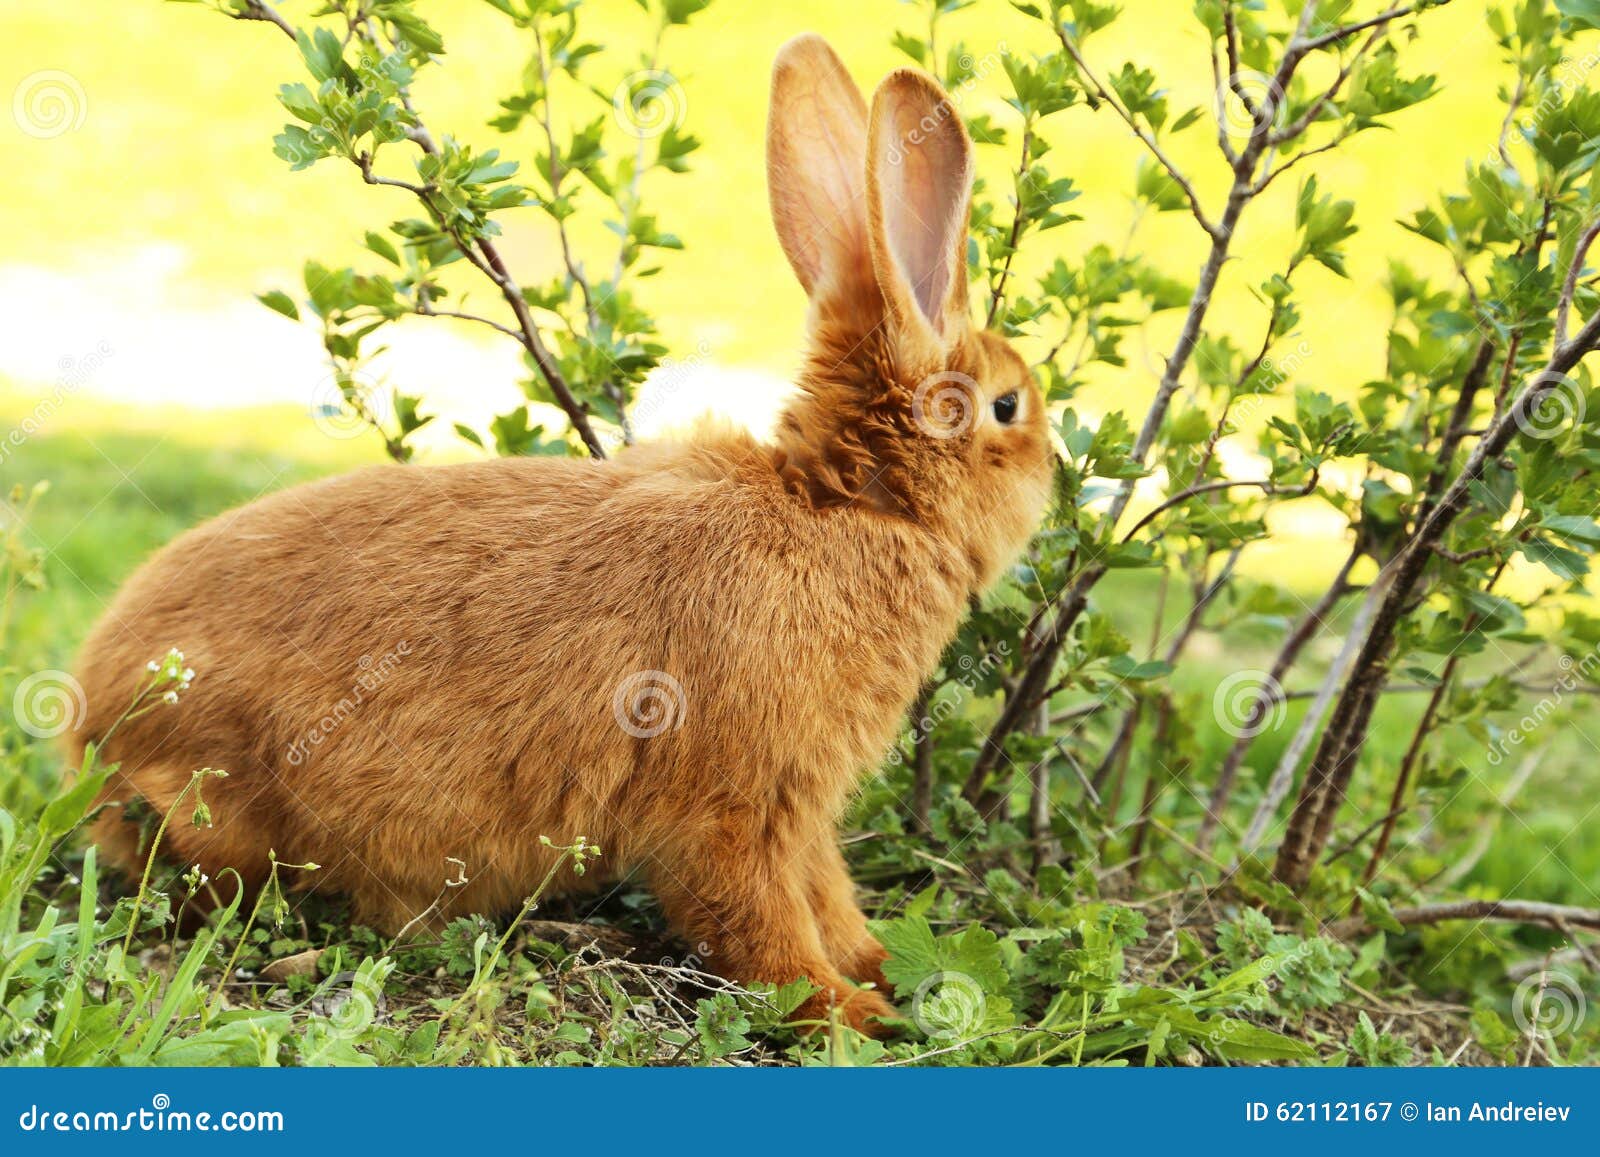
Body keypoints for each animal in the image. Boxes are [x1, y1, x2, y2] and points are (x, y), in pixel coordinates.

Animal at [67, 34, 1057, 1038]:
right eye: (1008, 406)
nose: (1055, 467)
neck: (849, 505)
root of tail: (88, 713)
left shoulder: (801, 810)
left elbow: (828, 896)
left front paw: (877, 971)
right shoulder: (737, 805)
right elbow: (758, 920)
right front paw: (848, 1010)